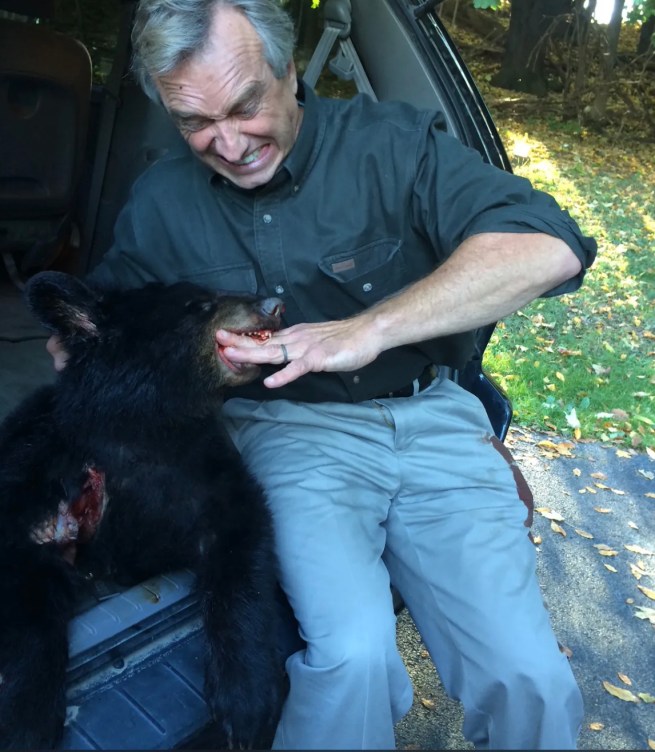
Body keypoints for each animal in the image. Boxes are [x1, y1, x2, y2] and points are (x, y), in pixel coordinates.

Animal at [0, 271, 285, 749]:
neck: (141, 425)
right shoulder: (39, 475)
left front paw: (245, 703)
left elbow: (243, 553)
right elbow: (27, 598)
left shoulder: (203, 471)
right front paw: (25, 724)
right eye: (199, 305)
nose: (273, 304)